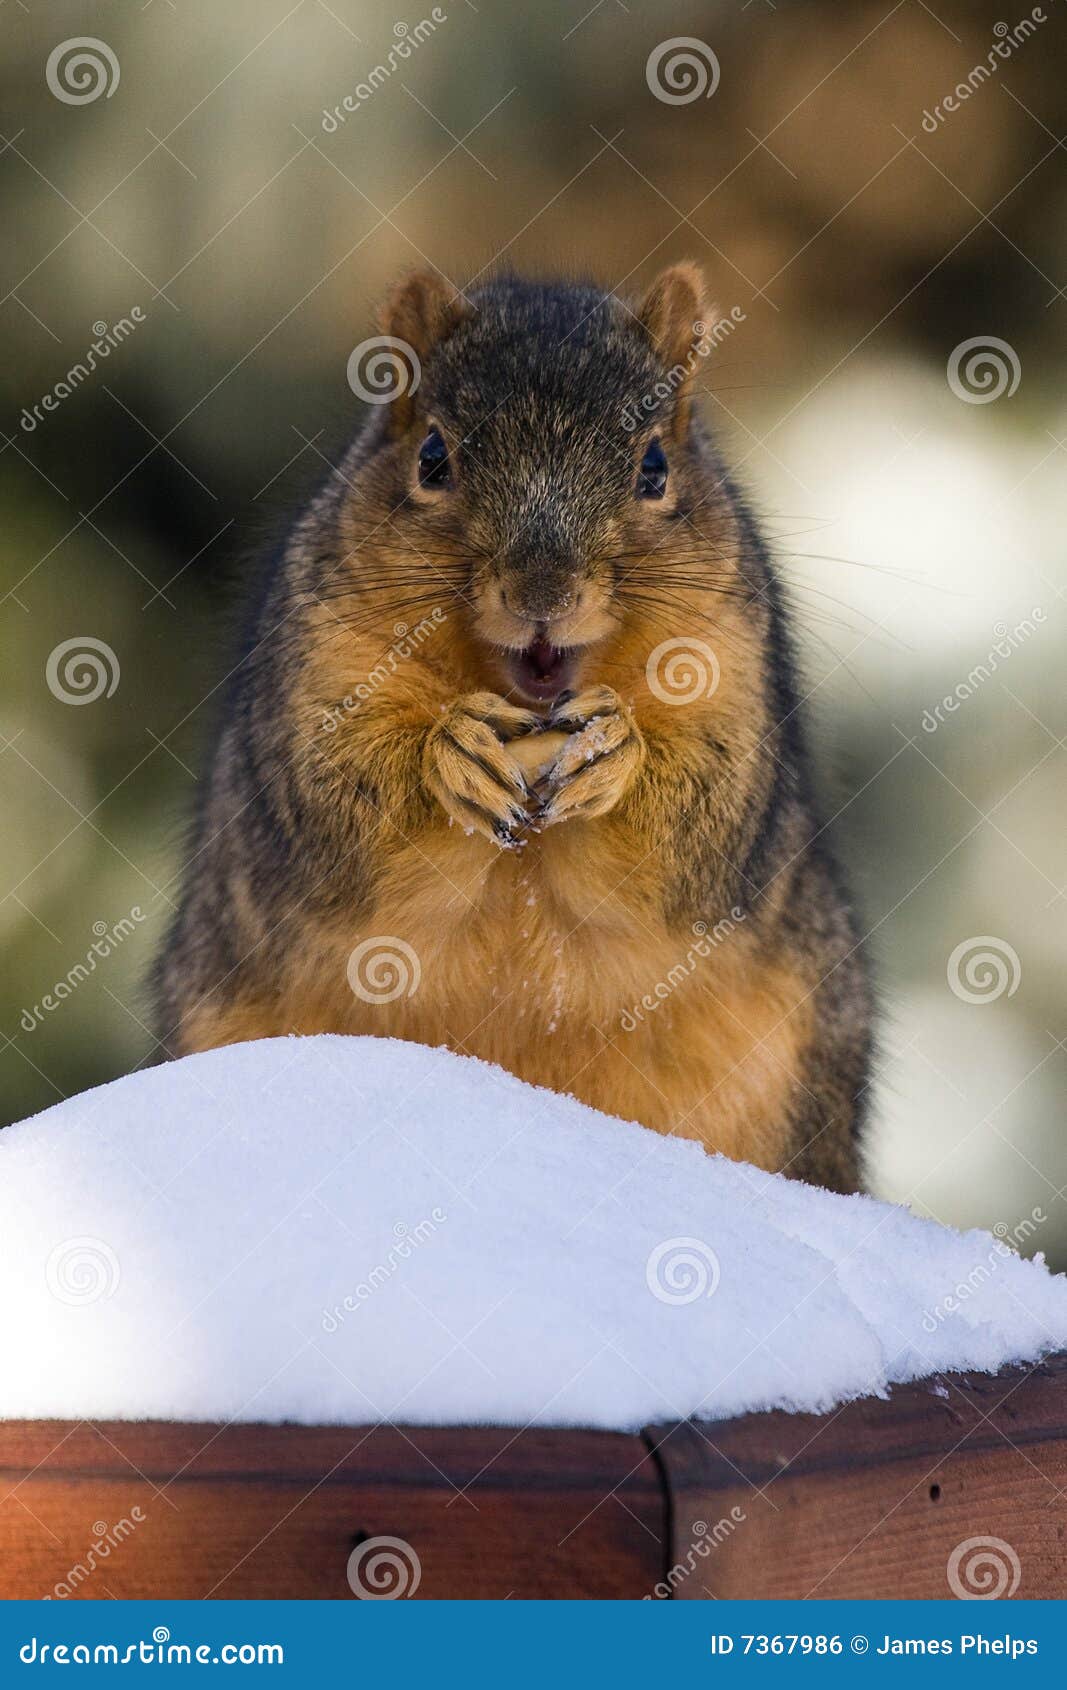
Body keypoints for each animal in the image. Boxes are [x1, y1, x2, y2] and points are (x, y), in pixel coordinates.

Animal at [153, 264, 873, 1194]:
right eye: (432, 458)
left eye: (653, 466)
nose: (543, 591)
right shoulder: (315, 672)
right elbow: (332, 798)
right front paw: (451, 752)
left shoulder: (731, 674)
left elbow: (698, 829)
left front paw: (615, 752)